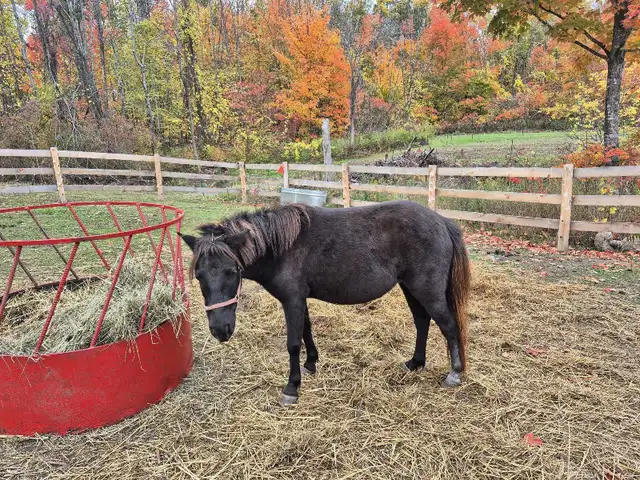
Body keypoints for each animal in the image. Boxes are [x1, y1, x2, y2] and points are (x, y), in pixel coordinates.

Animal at [179, 200, 471, 405]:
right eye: (199, 275)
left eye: (232, 271)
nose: (220, 330)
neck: (281, 247)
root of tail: (442, 221)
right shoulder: (299, 299)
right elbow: (307, 331)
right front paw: (311, 364)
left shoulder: (292, 300)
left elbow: (293, 343)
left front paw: (292, 388)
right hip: (410, 287)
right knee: (422, 321)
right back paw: (415, 363)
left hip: (426, 290)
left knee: (448, 325)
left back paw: (454, 373)